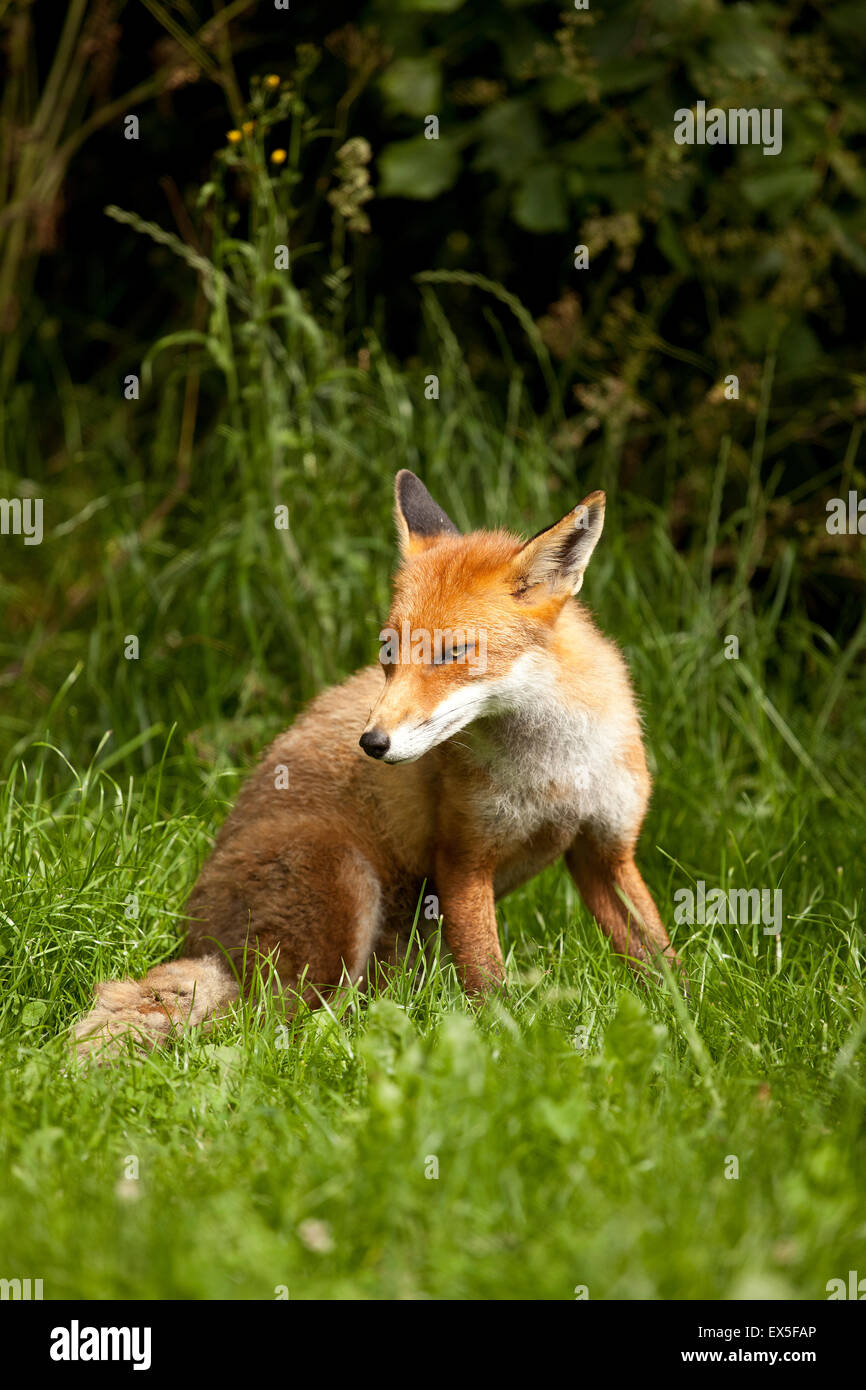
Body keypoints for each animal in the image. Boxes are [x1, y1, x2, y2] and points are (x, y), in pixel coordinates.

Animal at [72, 470, 681, 1059]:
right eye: (389, 651)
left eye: (454, 653)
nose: (372, 742)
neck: (555, 771)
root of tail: (202, 941)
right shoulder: (464, 859)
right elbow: (489, 985)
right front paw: (510, 1047)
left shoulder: (605, 852)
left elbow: (661, 960)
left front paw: (688, 1026)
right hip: (346, 887)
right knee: (275, 1023)